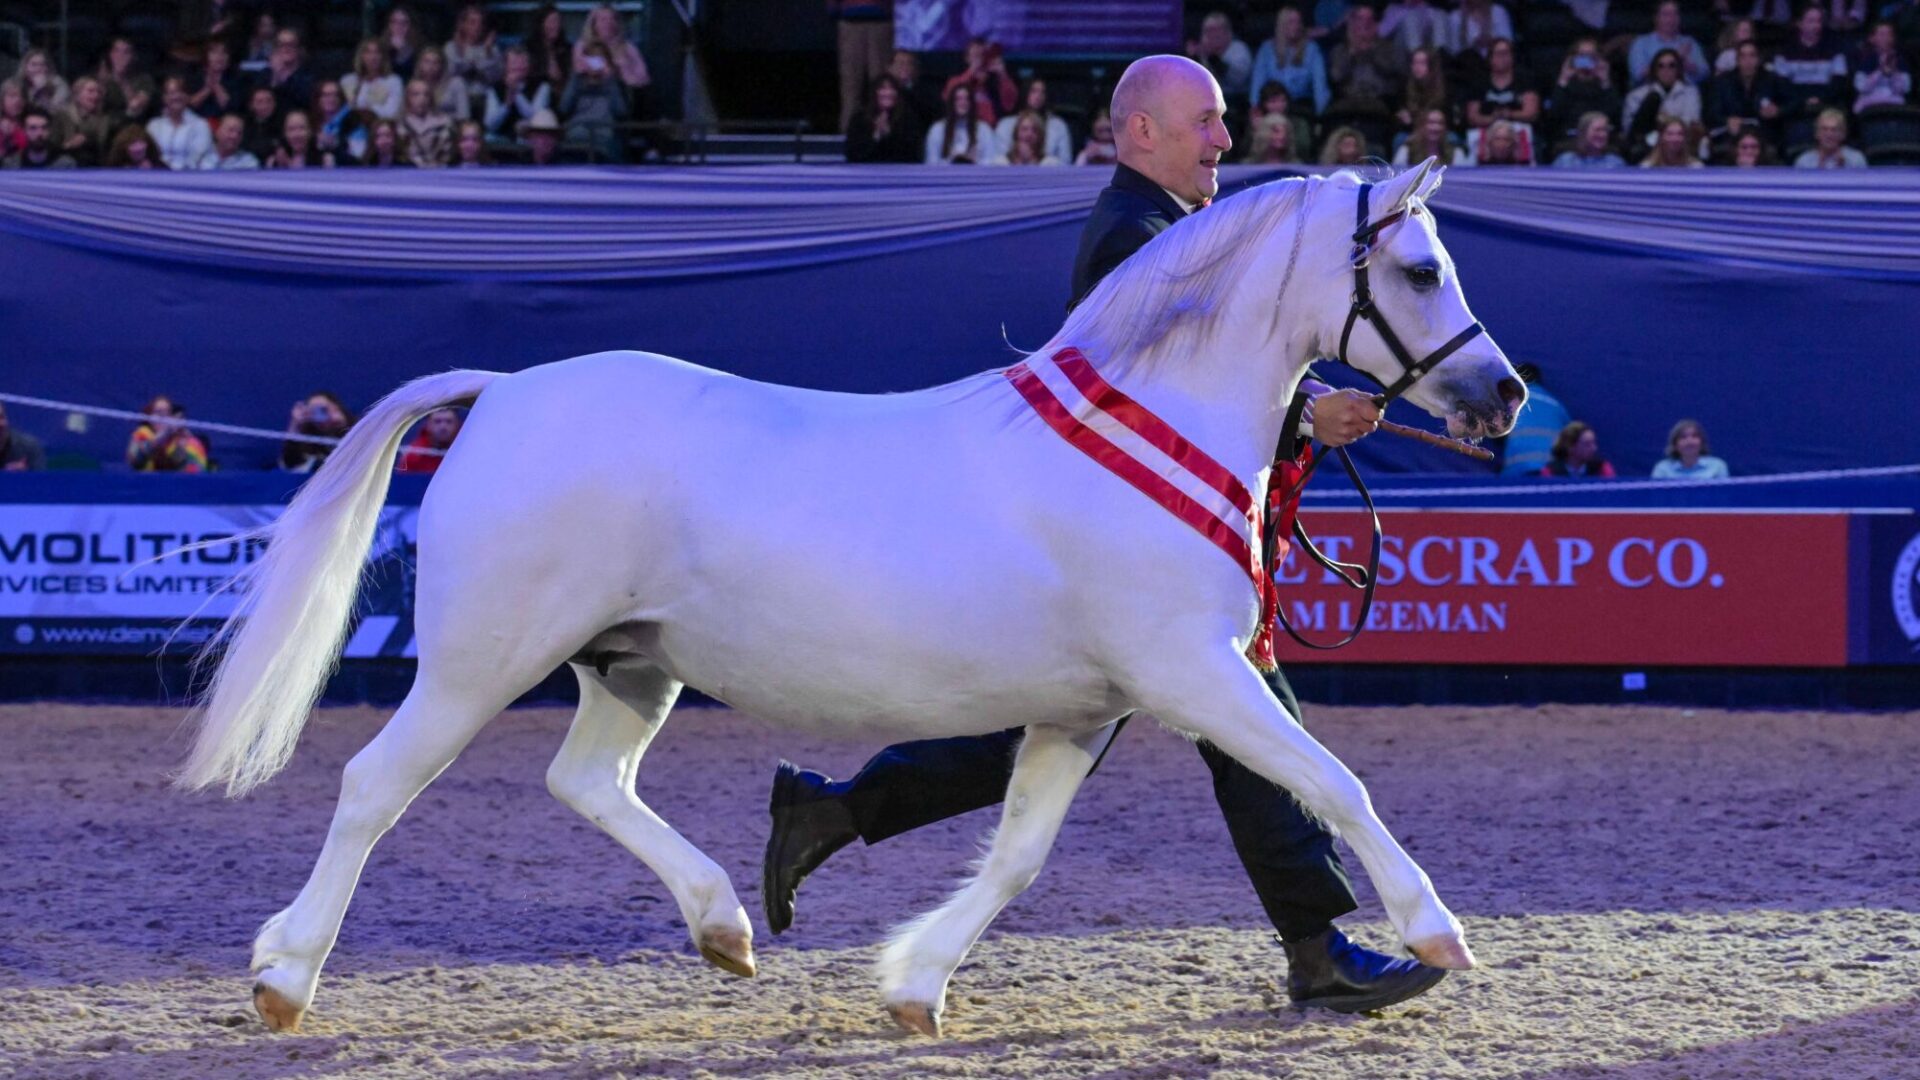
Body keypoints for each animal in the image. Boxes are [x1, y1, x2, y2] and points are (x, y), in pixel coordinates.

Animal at [179, 159, 1525, 1037]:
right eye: (1419, 268)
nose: (1504, 395)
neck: (1145, 434)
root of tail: (502, 393)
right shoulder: (1196, 674)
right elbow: (1327, 784)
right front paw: (1431, 935)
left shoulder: (1084, 709)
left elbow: (1019, 854)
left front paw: (914, 987)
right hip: (480, 660)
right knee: (374, 788)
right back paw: (283, 983)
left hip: (631, 662)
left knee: (587, 780)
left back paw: (728, 926)